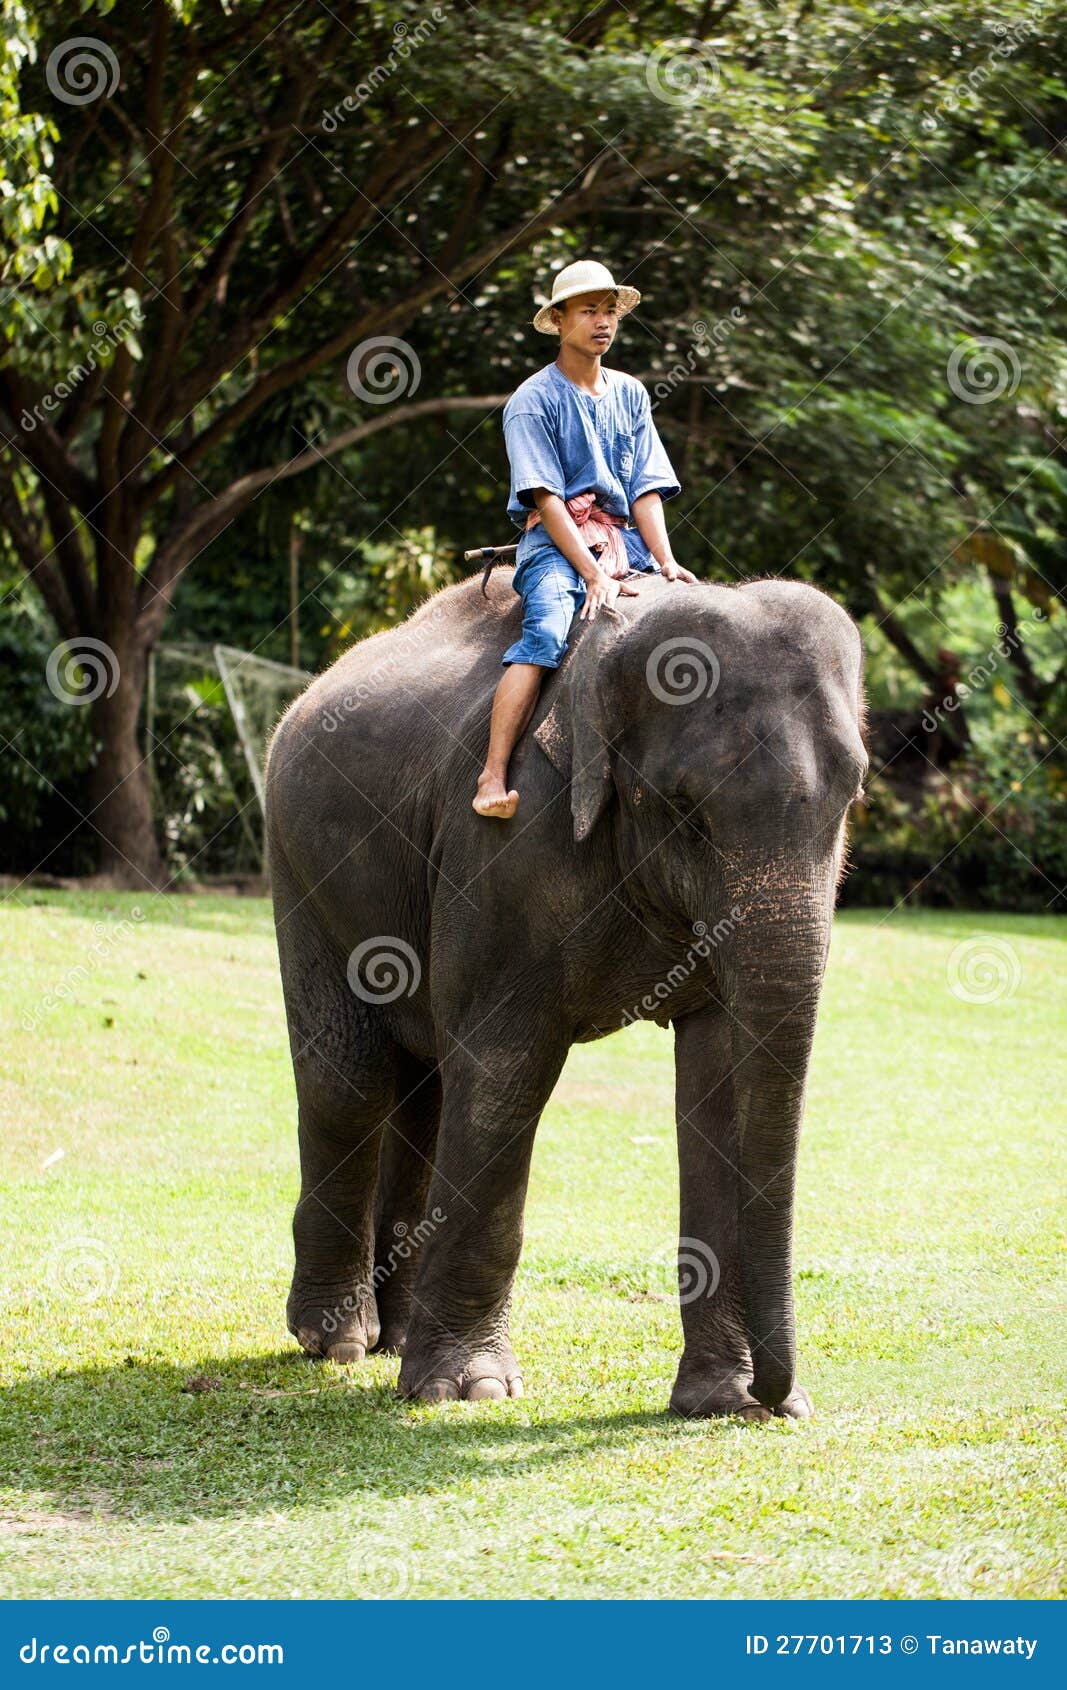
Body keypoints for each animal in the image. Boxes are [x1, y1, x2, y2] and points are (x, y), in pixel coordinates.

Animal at [263, 568, 867, 1418]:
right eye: (684, 809)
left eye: (850, 795)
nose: (784, 1400)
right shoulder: (508, 845)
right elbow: (504, 1071)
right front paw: (468, 1391)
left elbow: (719, 1085)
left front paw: (723, 1402)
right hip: (299, 862)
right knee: (350, 1081)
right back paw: (337, 1341)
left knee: (425, 1087)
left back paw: (393, 1337)